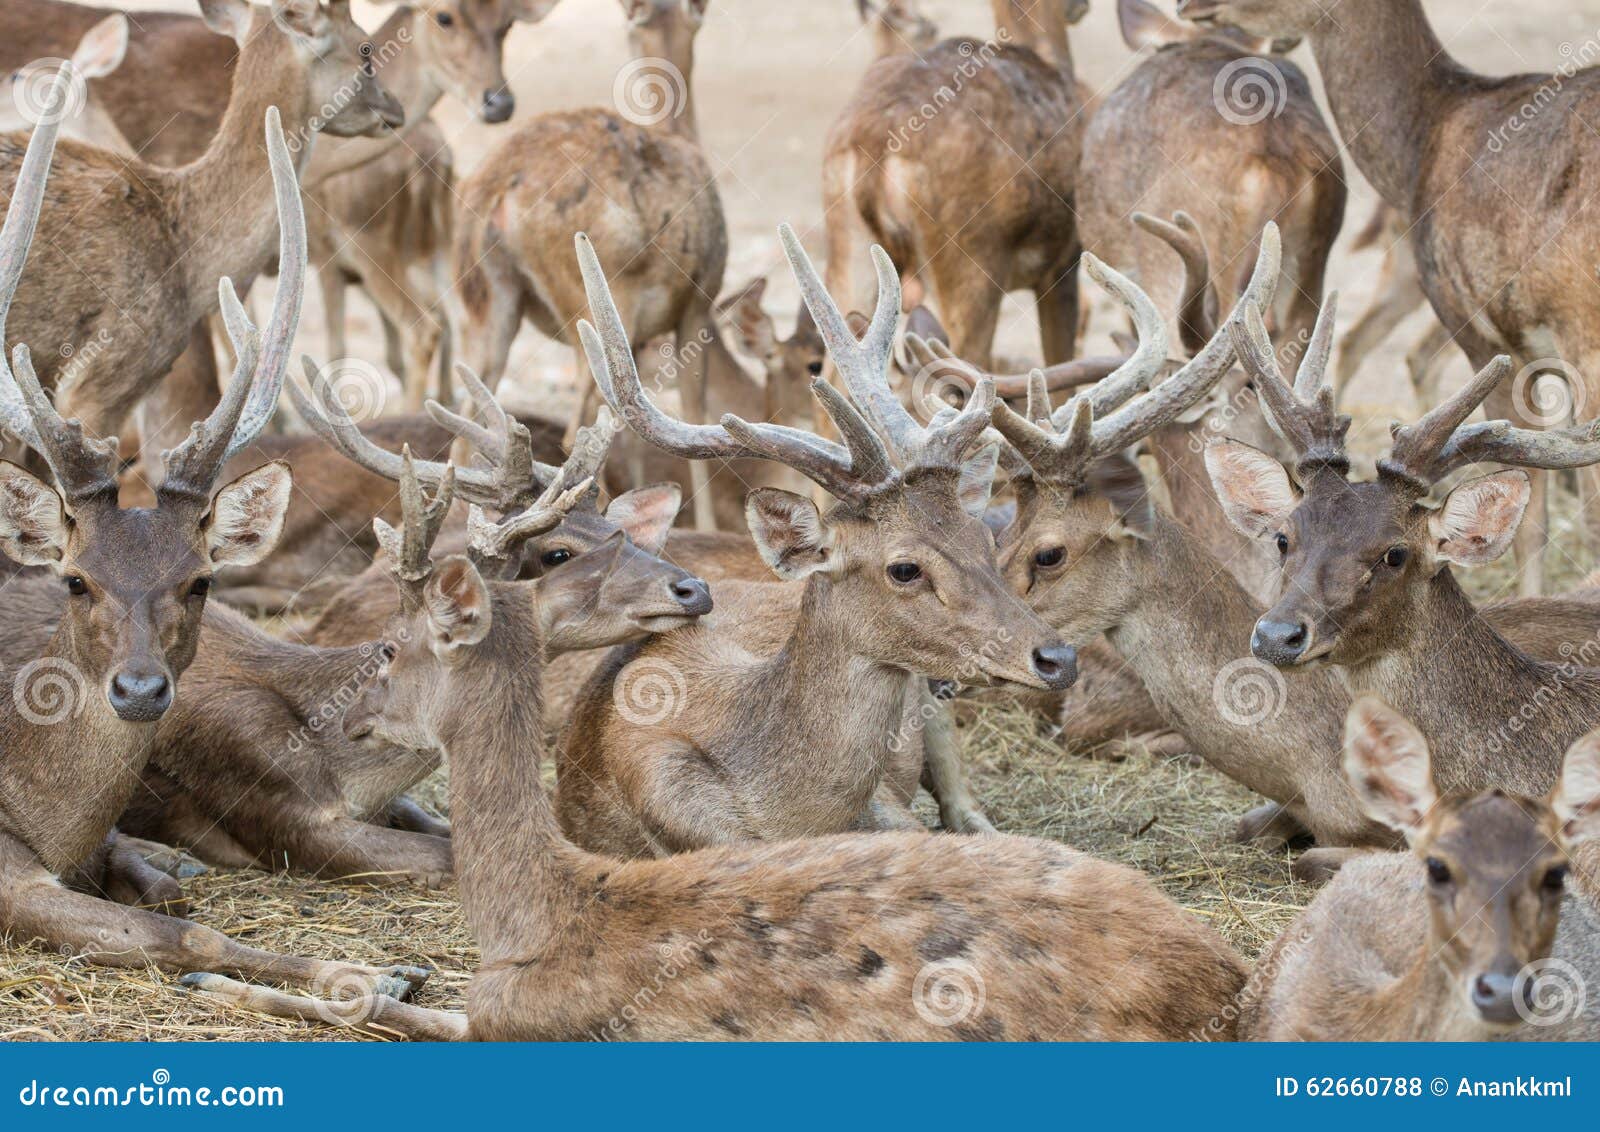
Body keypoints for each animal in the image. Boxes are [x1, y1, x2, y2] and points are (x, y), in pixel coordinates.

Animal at [0, 81, 426, 1002]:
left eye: (199, 580)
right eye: (76, 579)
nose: (139, 688)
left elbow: (171, 906)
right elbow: (183, 935)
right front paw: (369, 978)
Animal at [450, 0, 734, 529]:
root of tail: (498, 187)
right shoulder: (697, 307)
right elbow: (692, 414)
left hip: (487, 303)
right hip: (589, 299)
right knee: (572, 433)